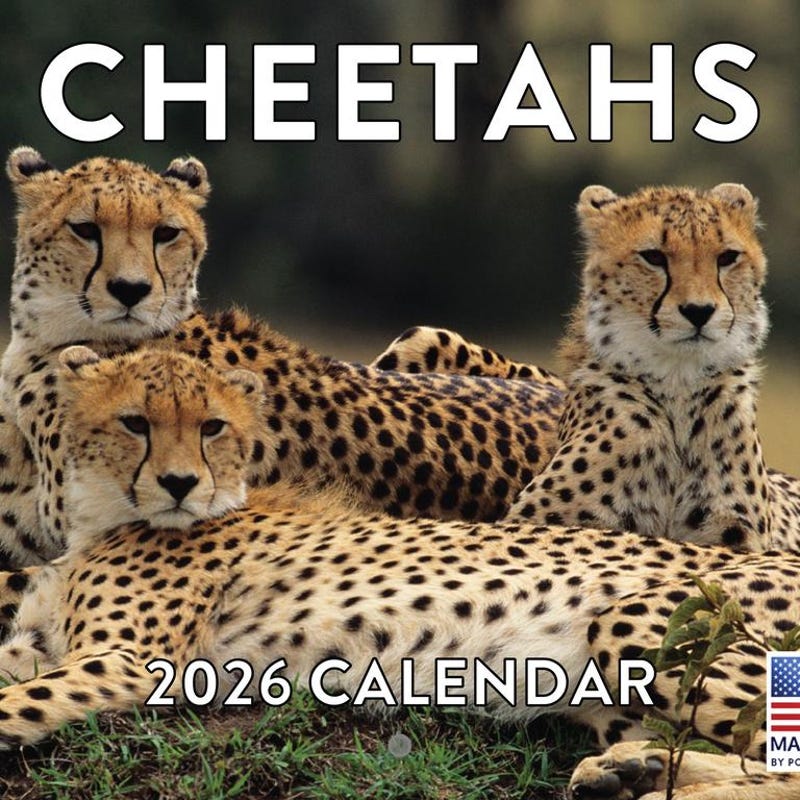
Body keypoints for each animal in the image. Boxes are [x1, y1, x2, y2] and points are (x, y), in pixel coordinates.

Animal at [0, 344, 796, 800]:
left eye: (212, 426)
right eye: (134, 422)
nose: (178, 484)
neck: (99, 514)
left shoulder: (131, 662)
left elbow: (18, 704)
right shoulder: (40, 641)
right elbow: (14, 666)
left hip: (636, 617)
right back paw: (628, 771)